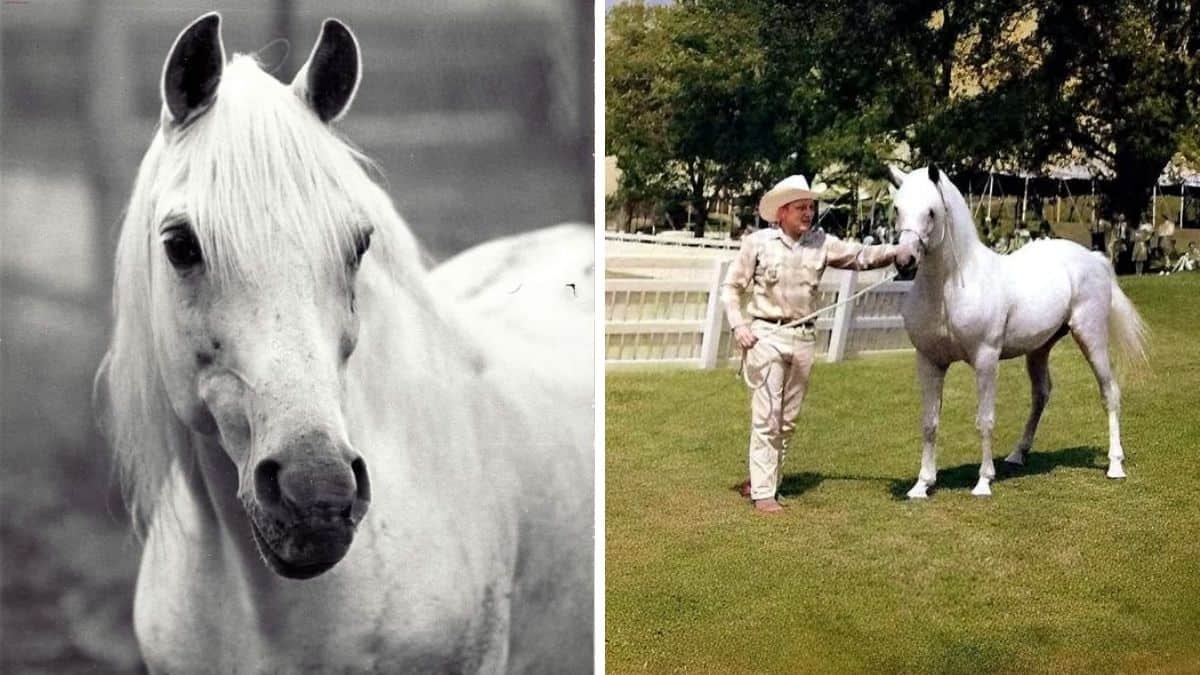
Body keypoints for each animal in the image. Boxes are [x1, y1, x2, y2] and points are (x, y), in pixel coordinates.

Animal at [888, 165, 1147, 499]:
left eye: (931, 212)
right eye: (897, 209)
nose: (904, 261)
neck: (952, 286)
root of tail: (1094, 257)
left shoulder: (985, 360)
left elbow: (985, 420)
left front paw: (983, 482)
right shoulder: (930, 362)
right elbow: (930, 422)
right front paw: (922, 485)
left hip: (1091, 337)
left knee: (1109, 391)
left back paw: (1115, 465)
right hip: (1039, 349)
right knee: (1041, 395)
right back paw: (1017, 454)